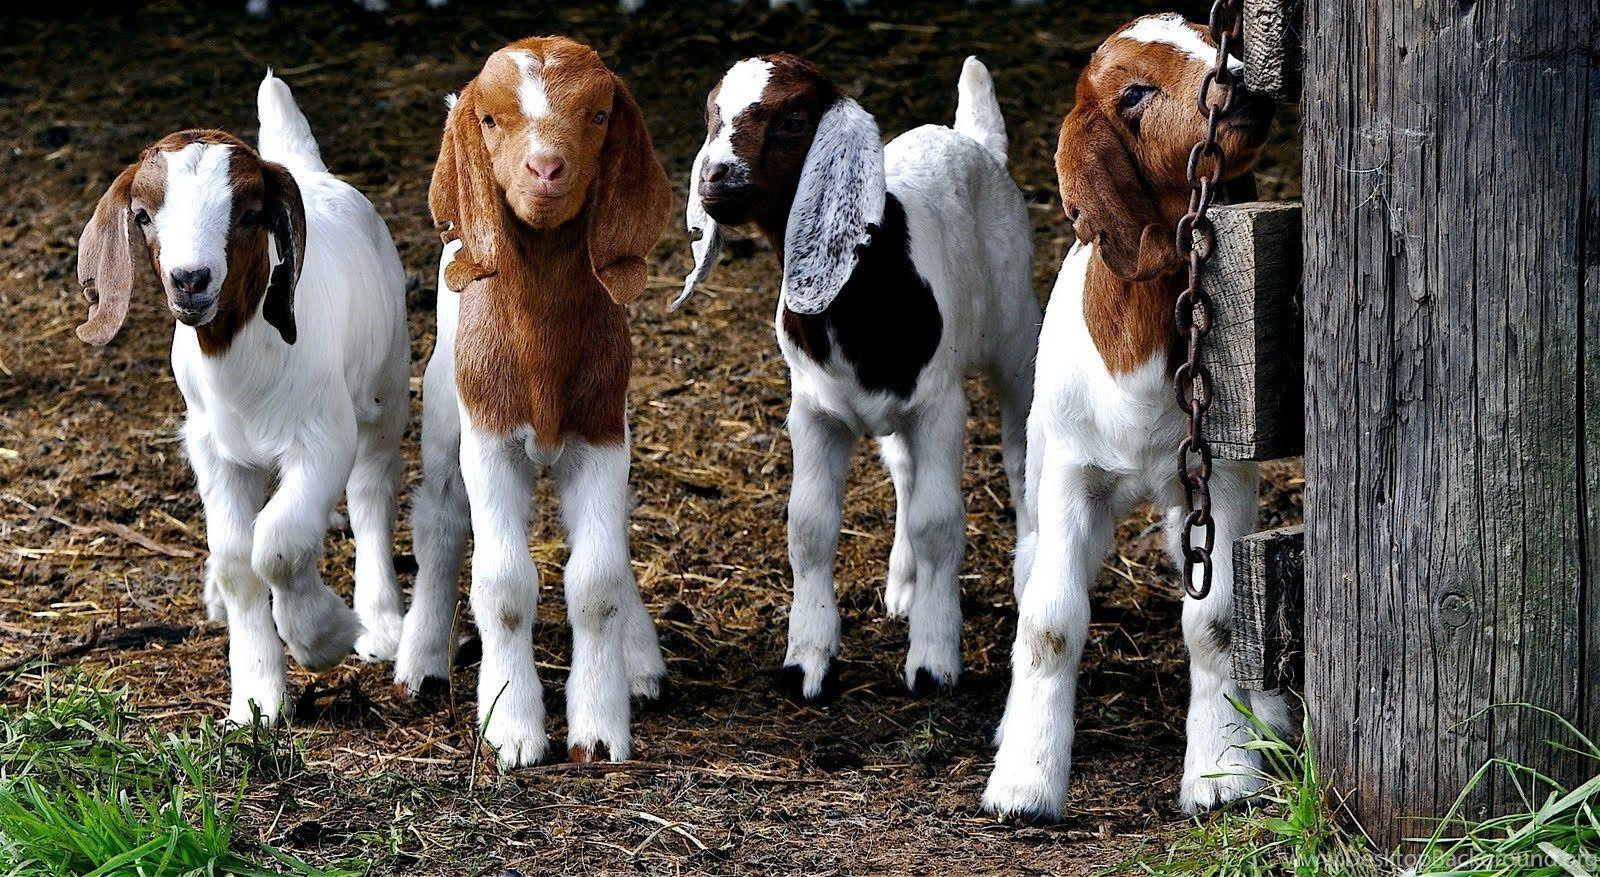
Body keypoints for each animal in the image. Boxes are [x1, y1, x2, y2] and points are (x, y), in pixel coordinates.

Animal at [74, 72, 410, 724]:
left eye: (251, 213)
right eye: (143, 215)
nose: (190, 280)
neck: (239, 352)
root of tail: (310, 169)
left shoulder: (322, 438)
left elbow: (278, 544)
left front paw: (325, 636)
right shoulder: (213, 448)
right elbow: (236, 560)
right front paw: (257, 698)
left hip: (385, 387)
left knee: (370, 491)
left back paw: (381, 624)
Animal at [394, 36, 671, 767]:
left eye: (599, 114)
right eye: (490, 119)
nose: (546, 169)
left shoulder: (603, 435)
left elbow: (598, 580)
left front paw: (599, 727)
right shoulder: (489, 439)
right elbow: (504, 585)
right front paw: (512, 725)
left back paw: (641, 662)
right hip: (446, 413)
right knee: (439, 521)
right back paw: (419, 661)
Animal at [678, 55, 1040, 701]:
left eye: (795, 117)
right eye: (712, 113)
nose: (715, 178)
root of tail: (972, 140)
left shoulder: (939, 405)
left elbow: (939, 522)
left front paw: (934, 660)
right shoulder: (814, 411)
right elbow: (809, 527)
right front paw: (807, 661)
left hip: (1015, 335)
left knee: (1020, 458)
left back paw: (1024, 576)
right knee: (903, 471)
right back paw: (903, 585)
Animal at [980, 14, 1290, 821]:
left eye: (1214, 34)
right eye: (1134, 94)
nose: (1240, 81)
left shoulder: (1216, 479)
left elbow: (1217, 623)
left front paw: (1223, 773)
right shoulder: (1069, 473)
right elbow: (1050, 623)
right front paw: (1024, 785)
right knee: (1029, 573)